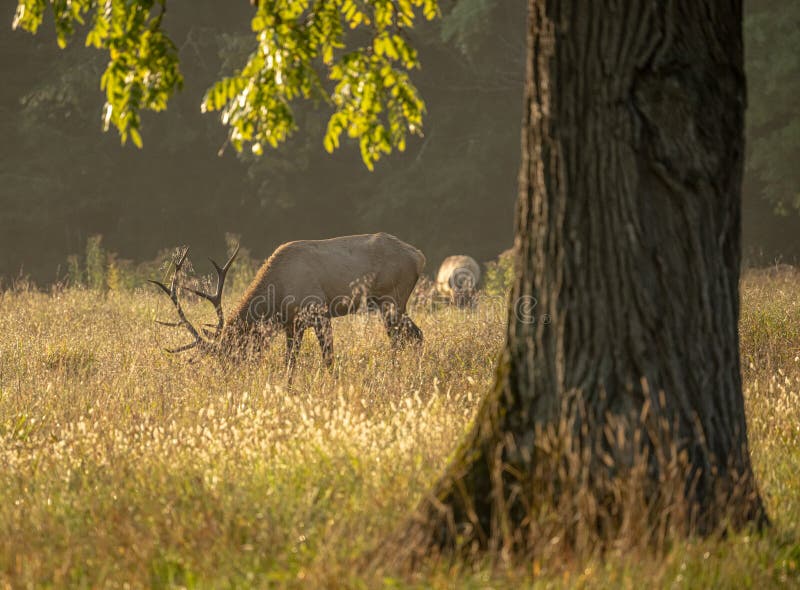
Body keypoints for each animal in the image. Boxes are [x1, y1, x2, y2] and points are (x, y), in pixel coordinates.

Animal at [151, 233, 426, 382]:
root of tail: (419, 257)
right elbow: (290, 361)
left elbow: (328, 357)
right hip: (389, 303)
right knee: (415, 335)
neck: (277, 297)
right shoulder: (292, 324)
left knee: (402, 338)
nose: (231, 379)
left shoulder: (318, 310)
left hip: (392, 298)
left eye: (232, 355)